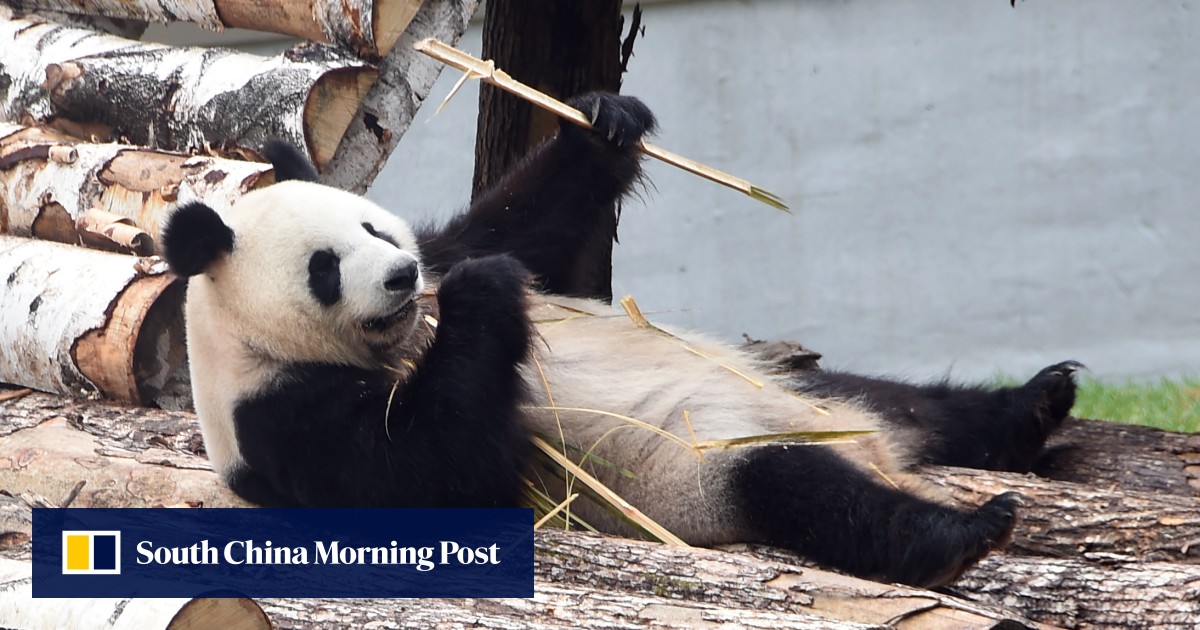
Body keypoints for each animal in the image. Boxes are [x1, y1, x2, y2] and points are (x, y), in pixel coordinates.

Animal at [160, 92, 1080, 588]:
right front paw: (483, 295)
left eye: (371, 226)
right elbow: (433, 476)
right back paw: (960, 536)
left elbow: (521, 229)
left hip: (804, 387)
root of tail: (880, 449)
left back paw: (1033, 407)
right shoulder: (284, 416)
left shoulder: (446, 244)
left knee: (910, 403)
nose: (399, 279)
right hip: (704, 473)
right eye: (324, 268)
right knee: (804, 487)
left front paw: (599, 124)